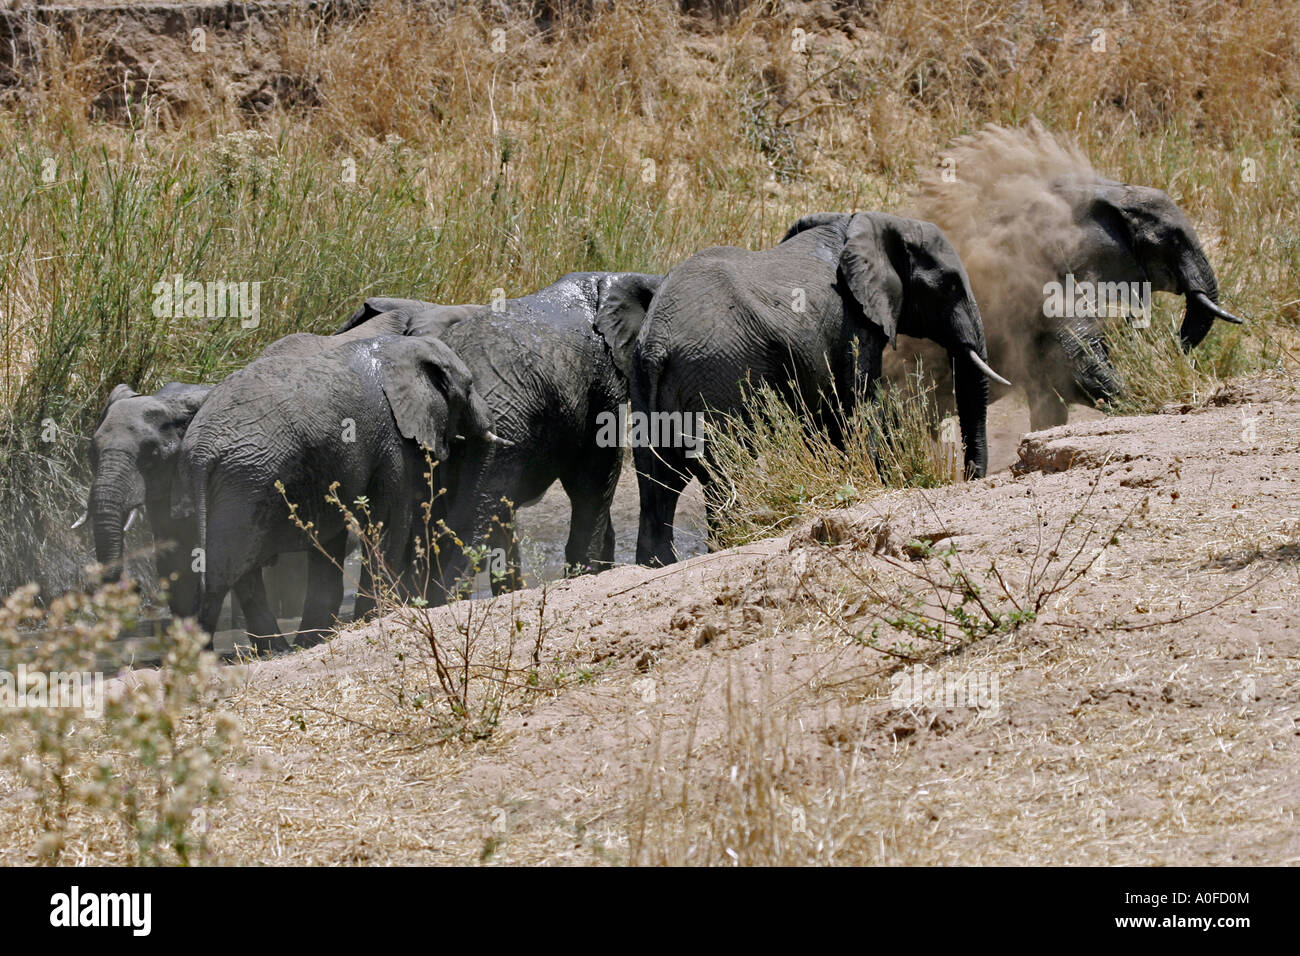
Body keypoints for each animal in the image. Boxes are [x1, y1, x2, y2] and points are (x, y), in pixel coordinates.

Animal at [174, 334, 501, 653]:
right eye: (469, 386)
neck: (394, 348)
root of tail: (202, 448)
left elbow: (330, 534)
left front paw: (315, 638)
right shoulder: (391, 438)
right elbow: (388, 520)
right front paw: (375, 618)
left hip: (233, 482)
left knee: (239, 565)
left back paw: (274, 650)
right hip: (247, 478)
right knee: (225, 569)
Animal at [594, 211, 1006, 567]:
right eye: (949, 284)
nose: (970, 477)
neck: (870, 220)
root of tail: (656, 343)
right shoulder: (853, 323)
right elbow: (854, 410)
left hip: (646, 385)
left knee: (659, 484)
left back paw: (657, 565)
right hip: (715, 376)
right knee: (721, 475)